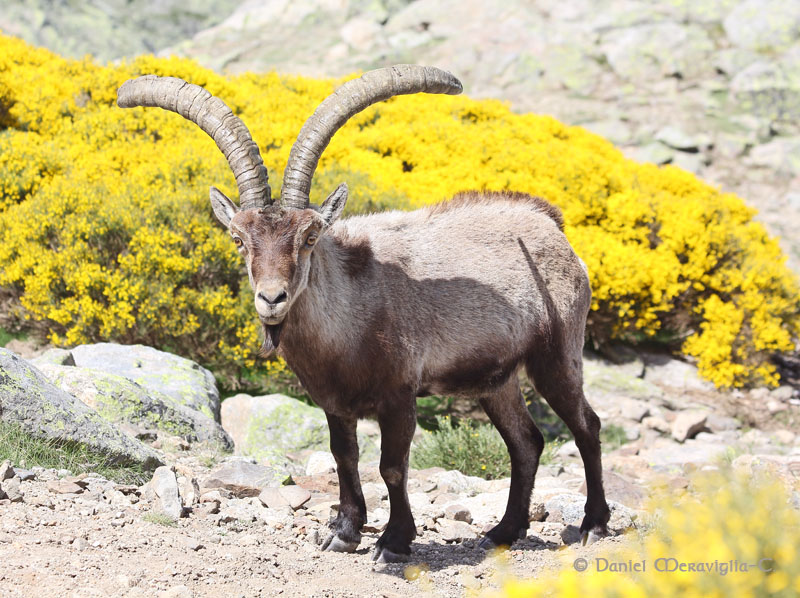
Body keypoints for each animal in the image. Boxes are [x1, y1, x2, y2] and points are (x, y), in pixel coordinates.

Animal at [117, 65, 610, 563]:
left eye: (310, 236)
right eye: (239, 239)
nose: (272, 299)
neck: (349, 322)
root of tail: (550, 223)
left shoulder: (400, 395)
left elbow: (392, 466)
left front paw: (394, 541)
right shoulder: (333, 401)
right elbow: (345, 457)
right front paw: (344, 532)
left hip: (556, 355)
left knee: (586, 425)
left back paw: (593, 523)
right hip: (496, 380)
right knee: (526, 442)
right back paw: (504, 531)